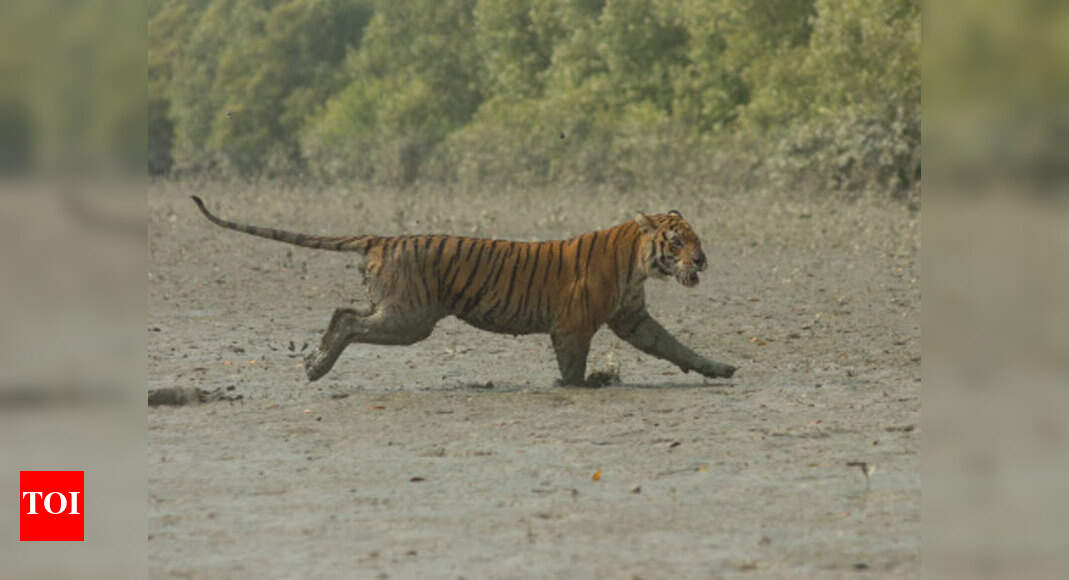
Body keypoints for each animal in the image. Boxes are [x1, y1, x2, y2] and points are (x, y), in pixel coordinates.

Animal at [191, 196, 737, 386]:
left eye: (697, 238)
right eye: (678, 241)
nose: (702, 260)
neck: (638, 264)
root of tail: (382, 237)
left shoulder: (632, 319)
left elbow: (675, 347)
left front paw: (719, 368)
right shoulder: (574, 326)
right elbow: (573, 369)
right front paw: (578, 386)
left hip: (399, 313)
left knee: (343, 312)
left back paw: (314, 362)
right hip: (409, 318)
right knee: (345, 318)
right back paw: (315, 367)